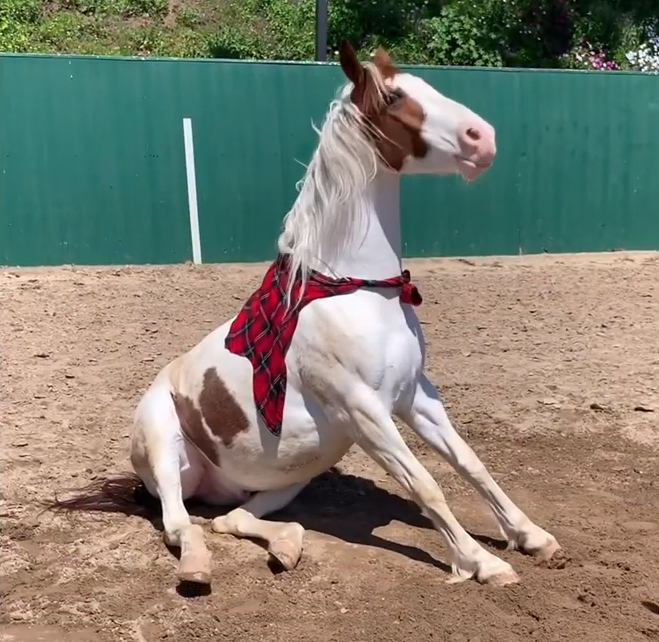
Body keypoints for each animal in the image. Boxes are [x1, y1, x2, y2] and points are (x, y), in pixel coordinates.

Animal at [53, 41, 565, 587]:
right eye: (395, 97)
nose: (482, 137)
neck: (355, 291)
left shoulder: (415, 398)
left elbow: (471, 464)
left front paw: (532, 537)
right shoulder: (362, 411)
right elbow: (426, 484)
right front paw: (482, 562)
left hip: (294, 476)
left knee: (233, 519)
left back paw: (286, 547)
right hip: (165, 447)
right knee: (179, 523)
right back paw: (197, 566)